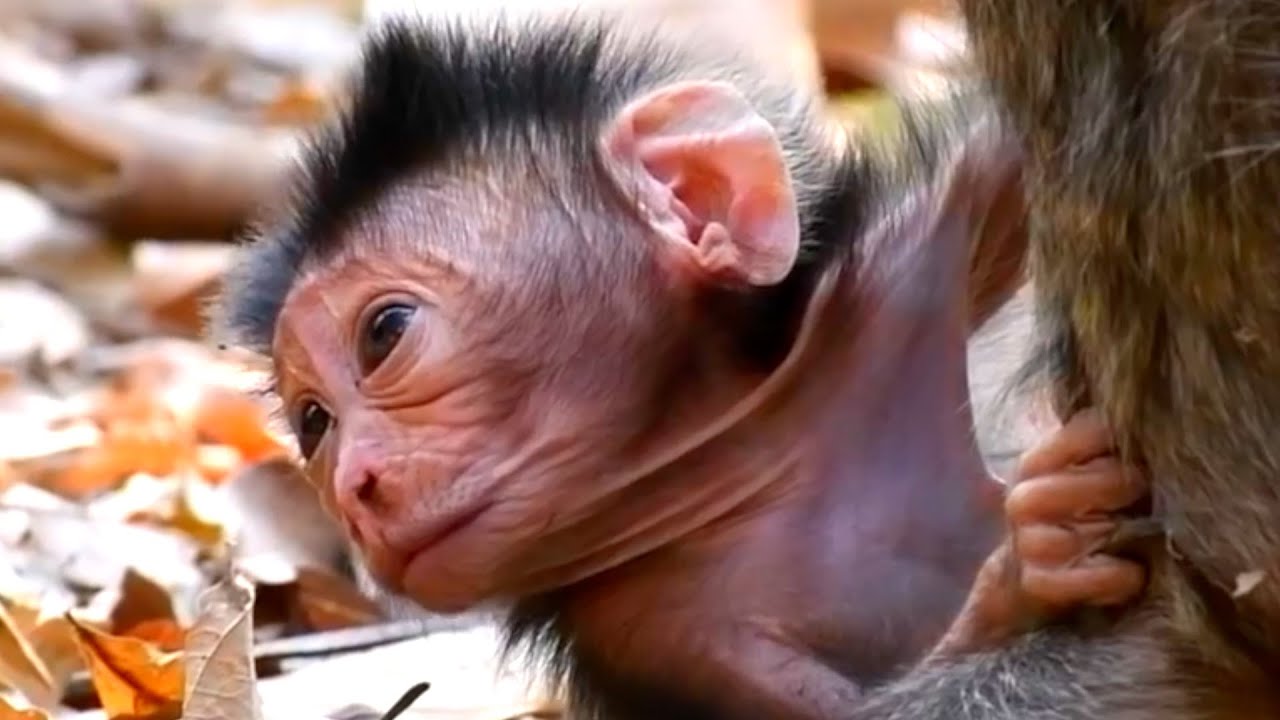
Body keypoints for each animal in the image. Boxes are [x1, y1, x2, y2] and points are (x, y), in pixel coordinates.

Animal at [213, 11, 1153, 720]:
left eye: (385, 333)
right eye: (315, 424)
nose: (355, 490)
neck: (753, 450)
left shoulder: (919, 253)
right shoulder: (652, 635)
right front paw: (1031, 569)